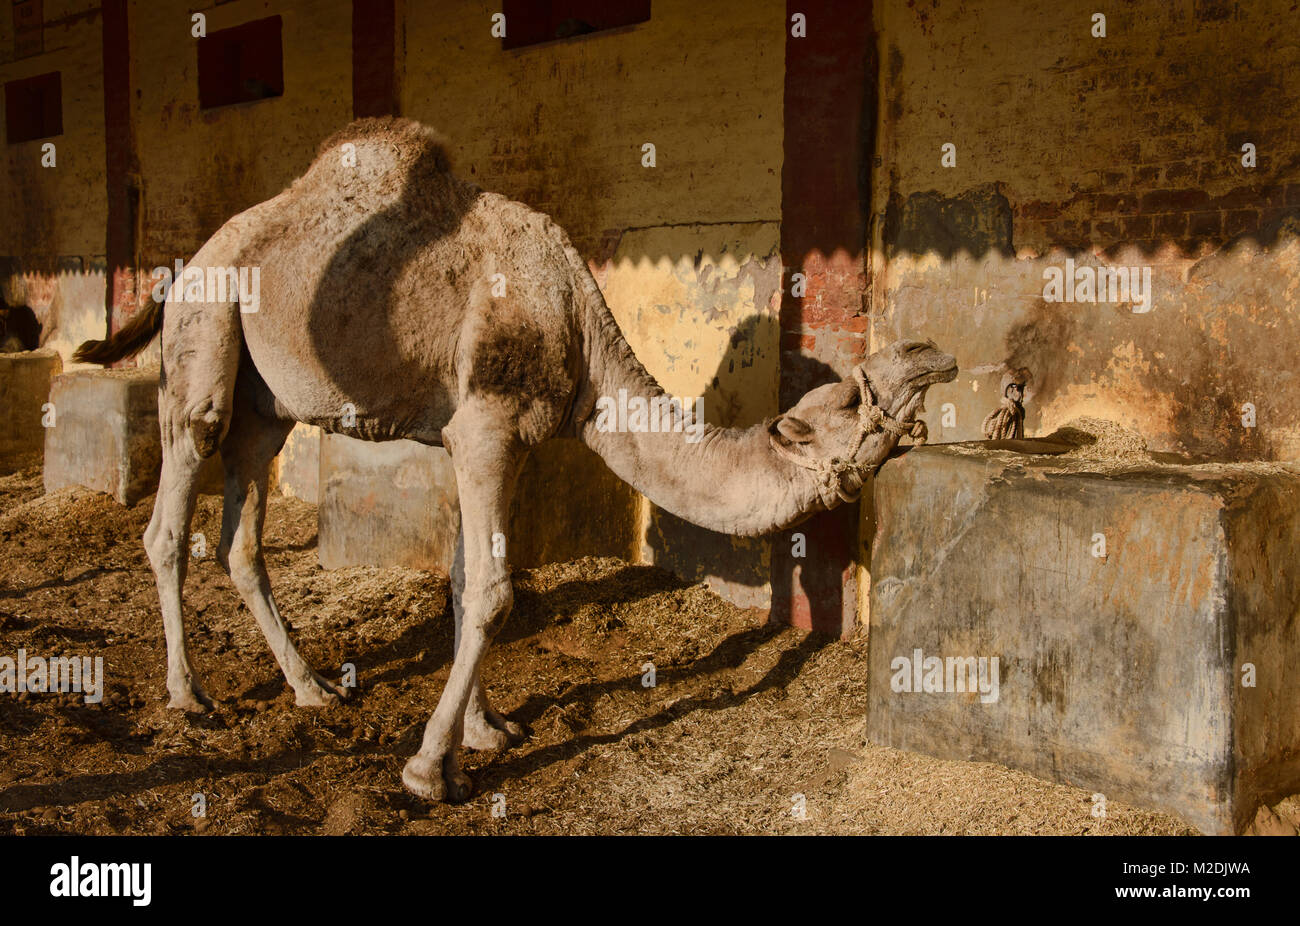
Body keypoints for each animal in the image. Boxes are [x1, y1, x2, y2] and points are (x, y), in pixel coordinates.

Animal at [74, 117, 958, 802]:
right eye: (853, 398)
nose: (935, 357)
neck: (577, 327)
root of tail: (186, 263)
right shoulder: (486, 429)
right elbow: (495, 591)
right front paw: (429, 770)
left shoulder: (504, 441)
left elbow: (469, 577)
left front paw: (487, 730)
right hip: (207, 336)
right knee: (174, 498)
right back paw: (189, 697)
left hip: (268, 402)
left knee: (240, 534)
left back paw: (312, 687)